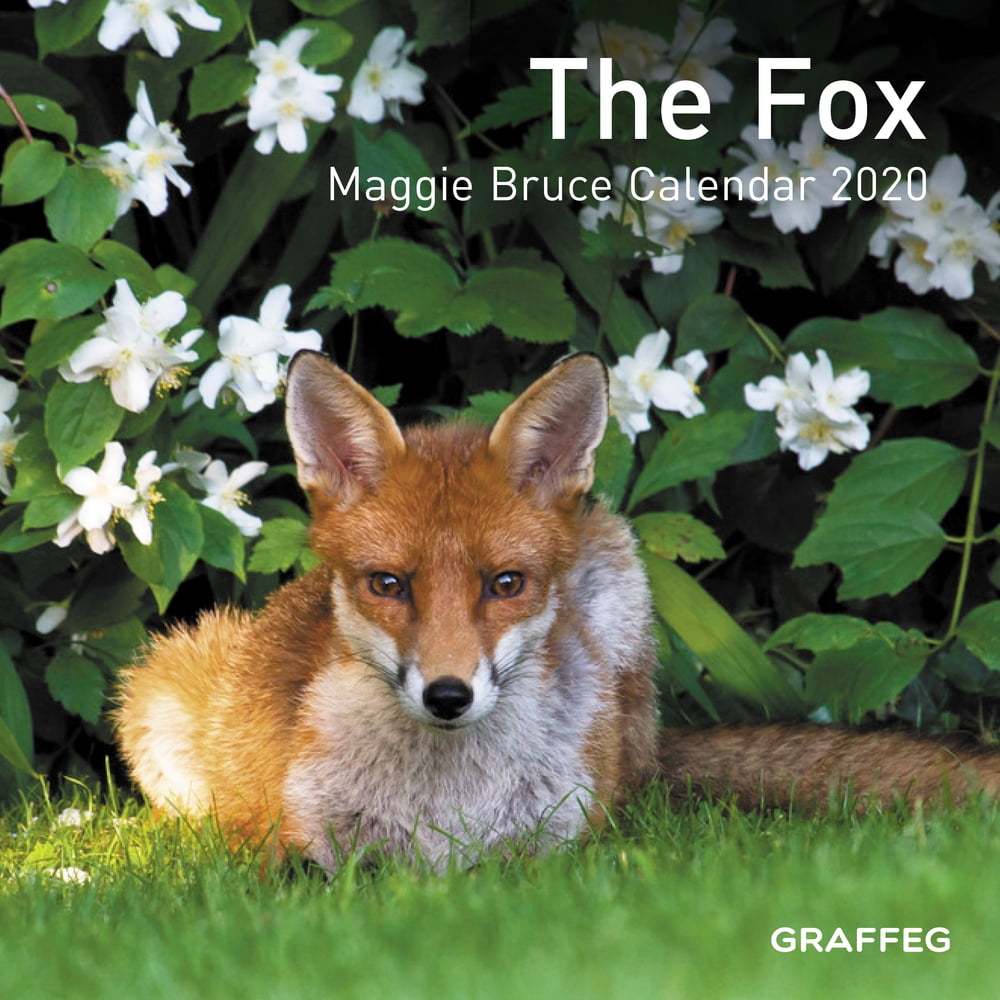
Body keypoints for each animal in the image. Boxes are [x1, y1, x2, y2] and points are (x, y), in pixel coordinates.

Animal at [115, 350, 1000, 871]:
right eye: (388, 584)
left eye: (505, 584)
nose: (447, 695)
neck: (444, 807)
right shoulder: (281, 841)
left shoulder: (564, 846)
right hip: (163, 694)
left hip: (619, 576)